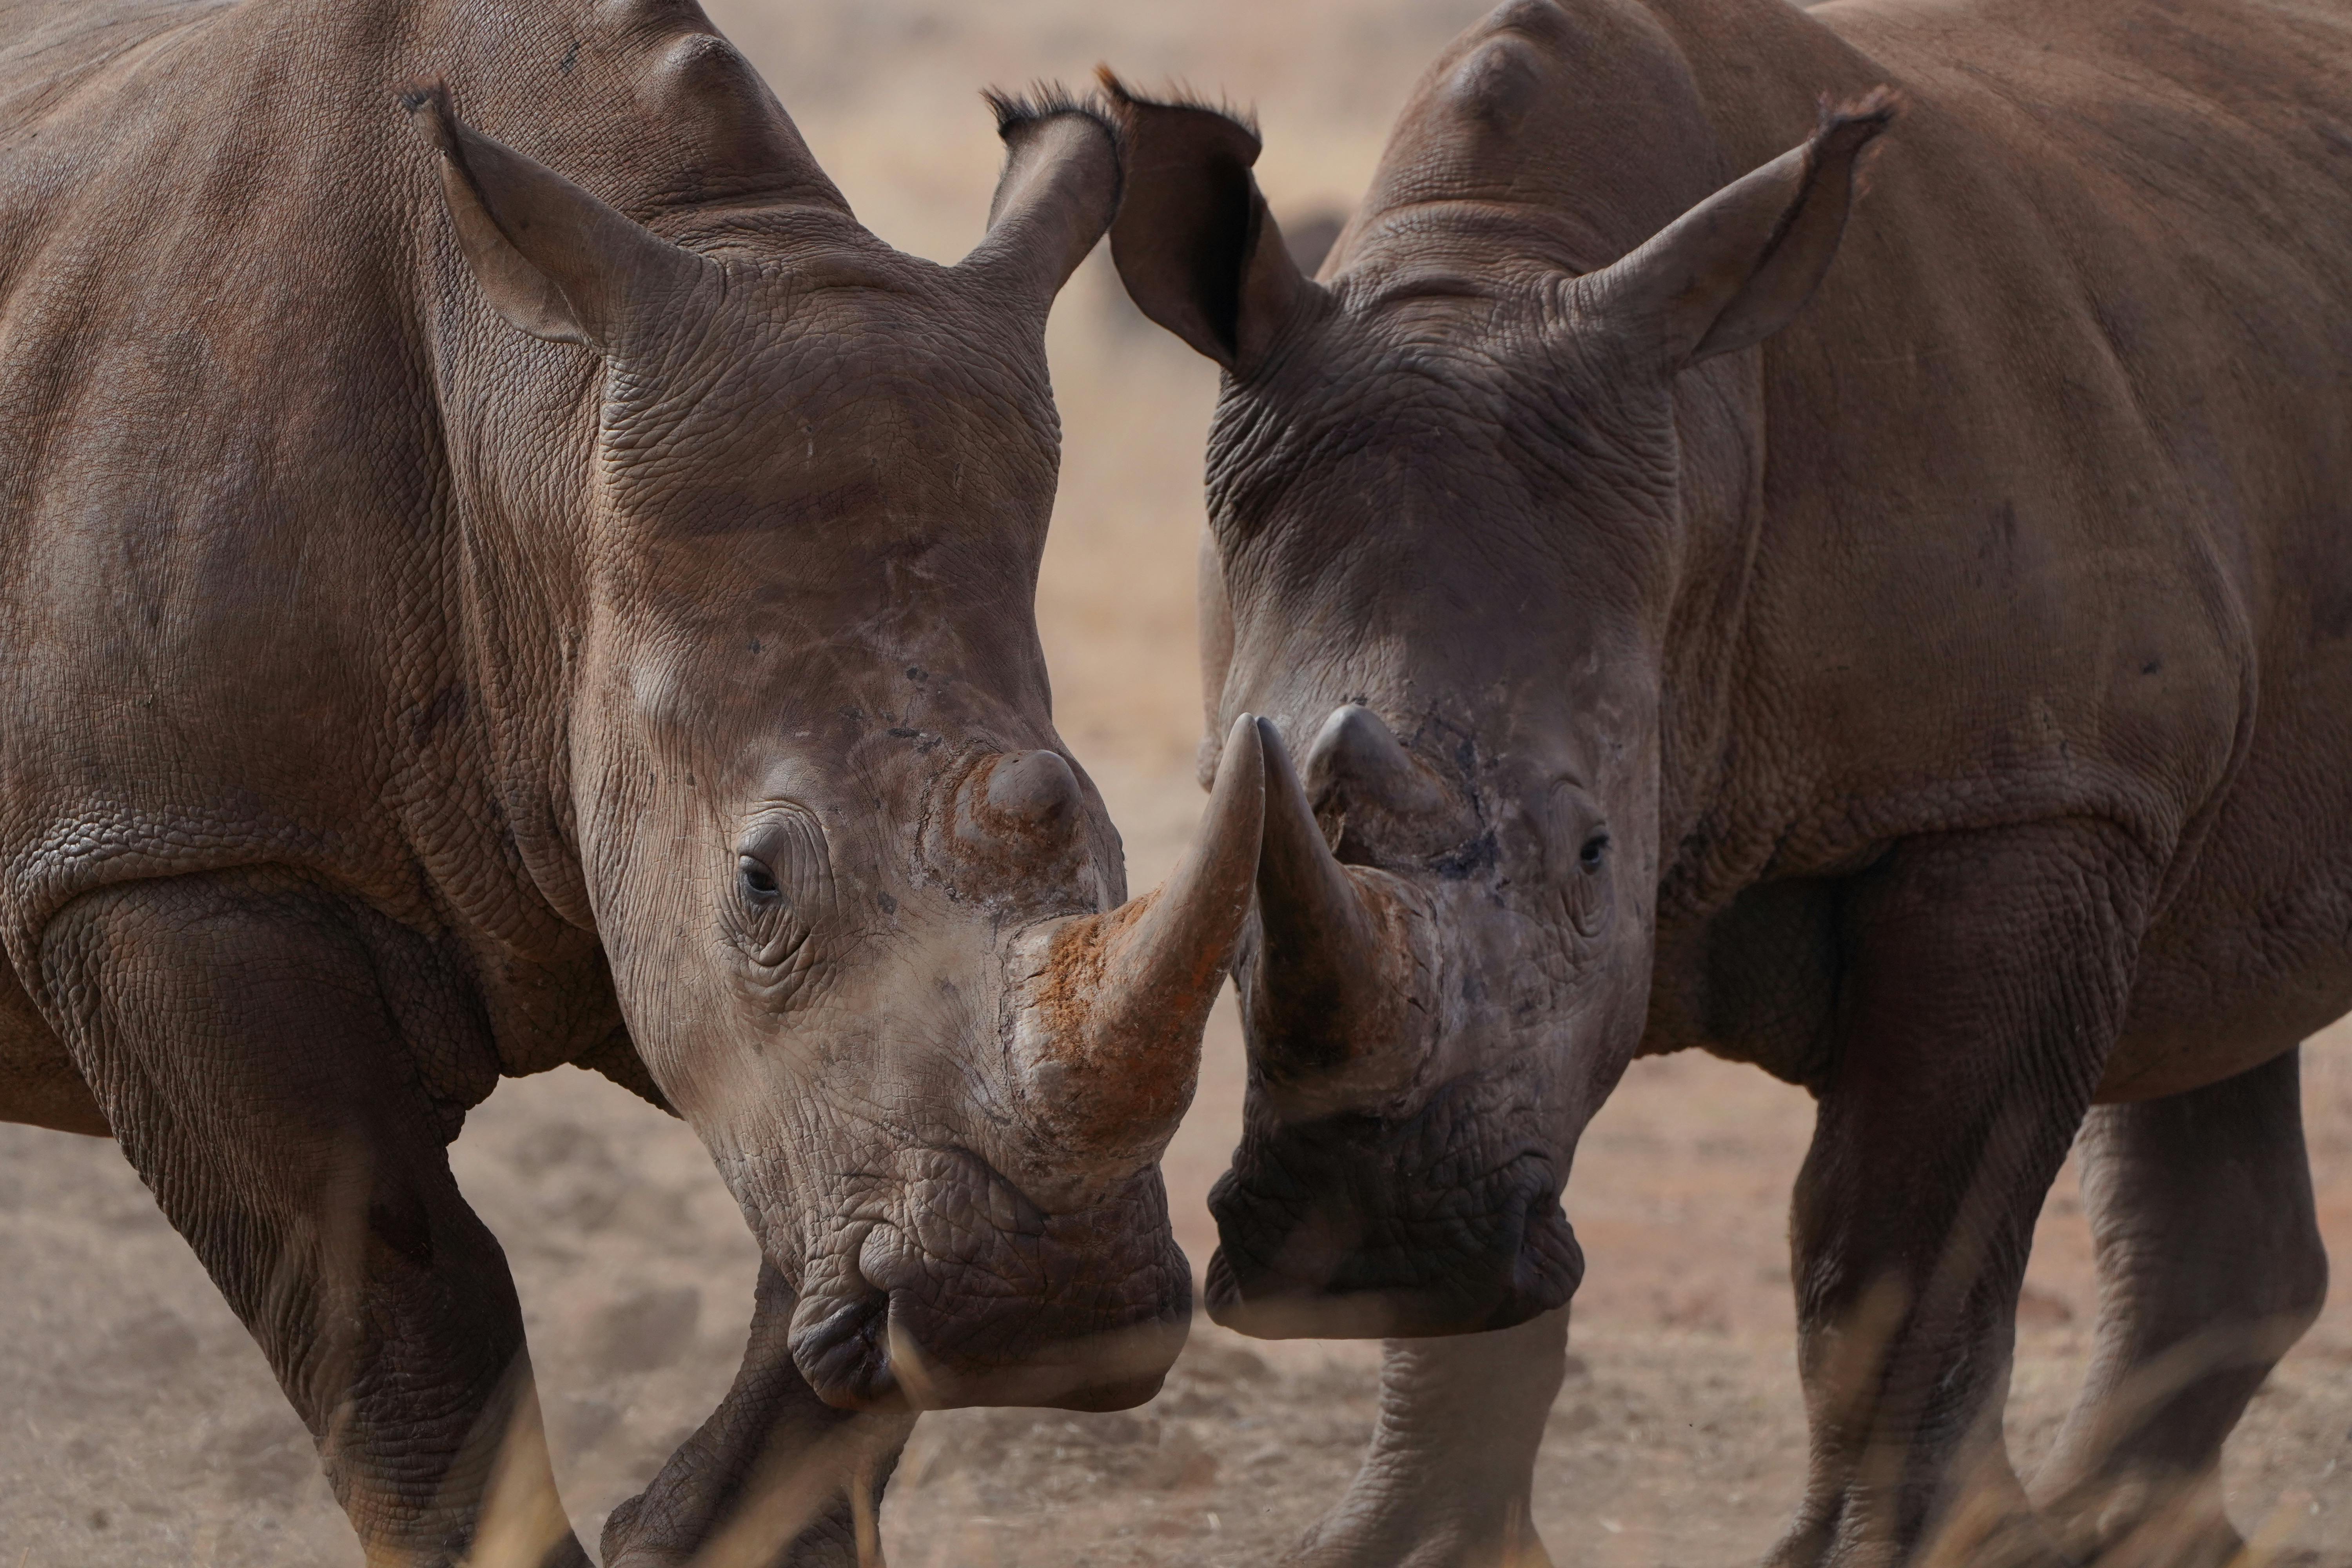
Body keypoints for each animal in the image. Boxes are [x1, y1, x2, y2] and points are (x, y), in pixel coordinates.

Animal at [0, 2, 1267, 1563]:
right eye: (760, 882)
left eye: (1110, 854)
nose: (1051, 1307)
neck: (535, 432)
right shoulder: (169, 856)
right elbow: (401, 1306)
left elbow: (812, 1239)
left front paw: (677, 1523)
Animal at [1103, 0, 2350, 1563]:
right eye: (1229, 846)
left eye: (1593, 851)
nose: (1364, 1241)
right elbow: (1494, 1288)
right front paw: (1406, 1540)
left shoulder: (2027, 793)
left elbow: (1897, 1242)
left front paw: (1888, 1552)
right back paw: (2116, 1531)